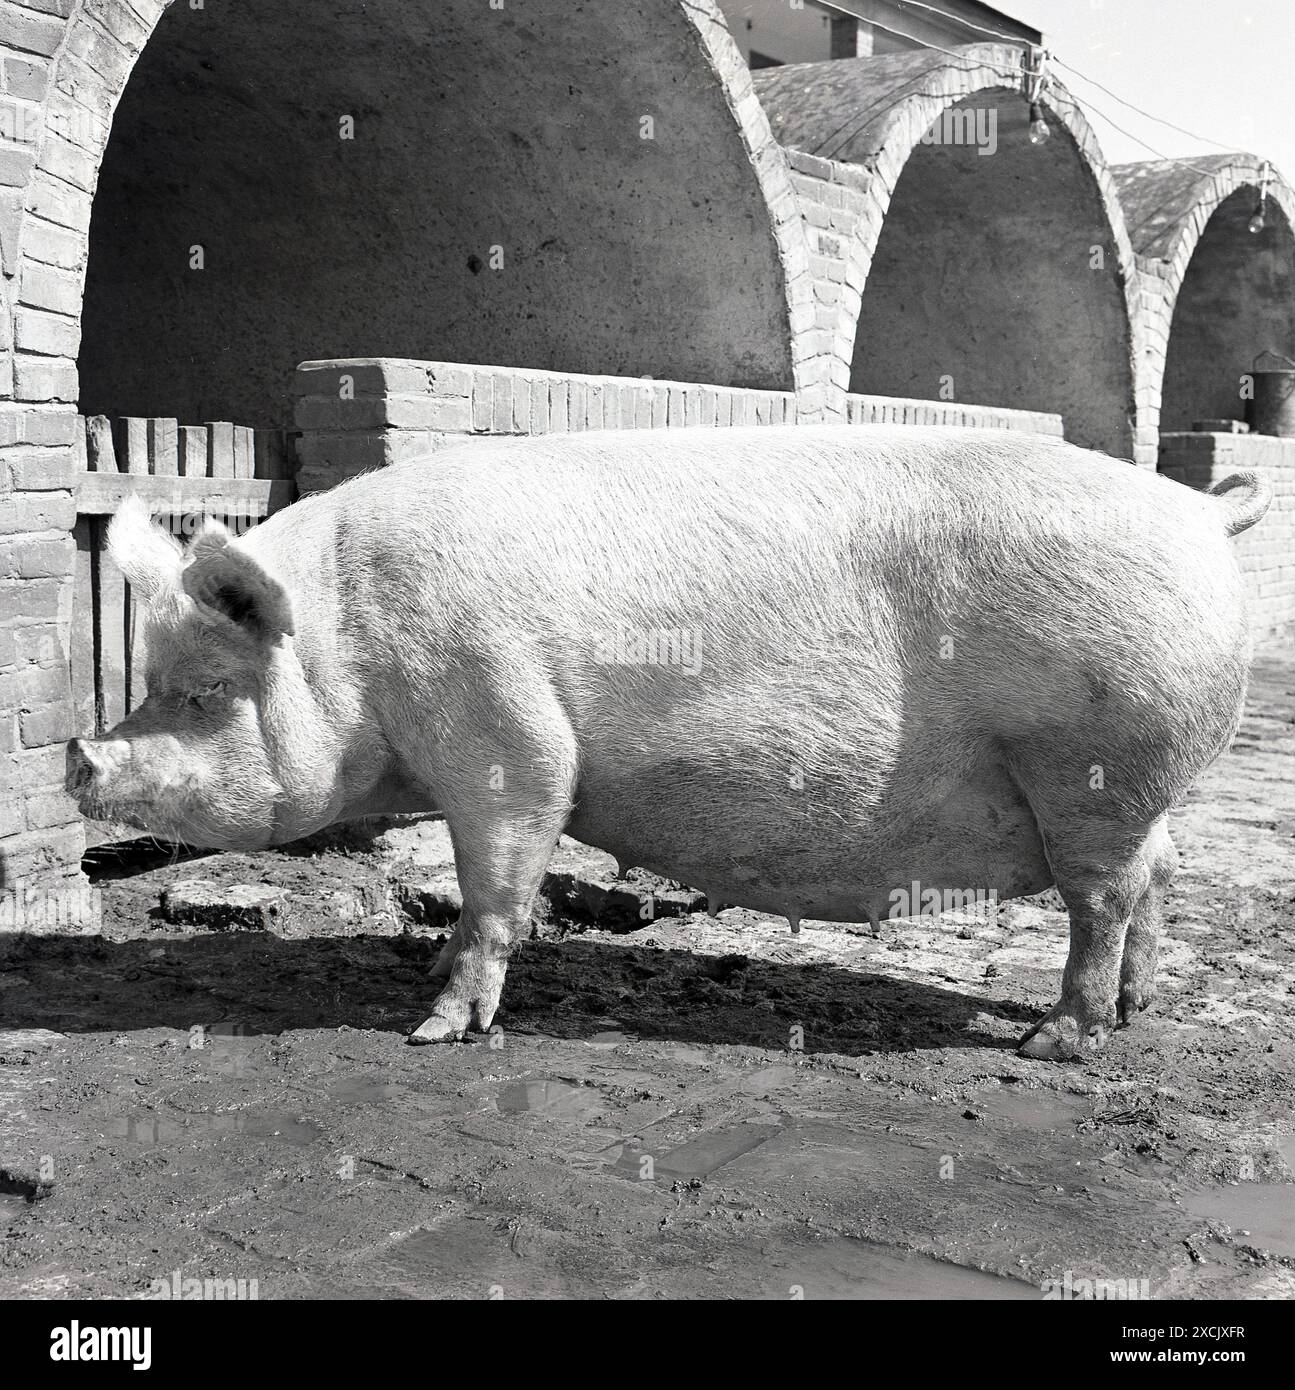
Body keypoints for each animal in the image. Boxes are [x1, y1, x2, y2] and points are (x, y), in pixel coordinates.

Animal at [66, 426, 1271, 1060]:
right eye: (151, 685)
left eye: (208, 694)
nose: (81, 754)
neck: (348, 651)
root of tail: (1201, 513)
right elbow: (473, 897)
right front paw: (427, 969)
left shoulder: (508, 733)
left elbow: (499, 886)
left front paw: (433, 1030)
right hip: (1124, 788)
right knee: (1158, 874)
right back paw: (1136, 1013)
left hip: (1088, 761)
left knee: (1103, 897)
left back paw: (1053, 1042)